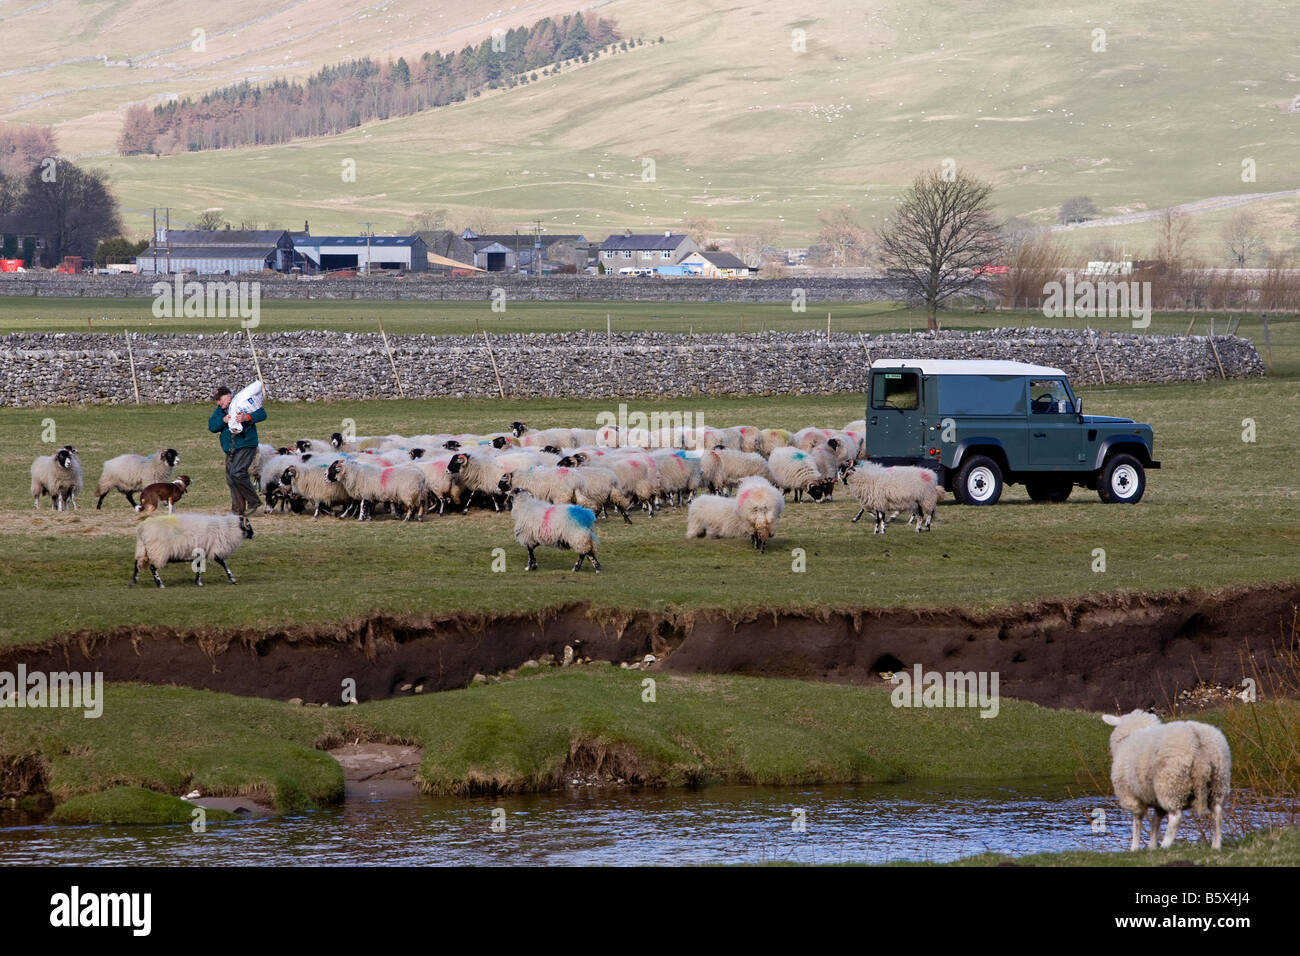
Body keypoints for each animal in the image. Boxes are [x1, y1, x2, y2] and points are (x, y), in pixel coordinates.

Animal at [1102, 710, 1231, 851]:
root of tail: (1197, 738)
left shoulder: (1130, 796)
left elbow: (1137, 821)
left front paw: (1134, 848)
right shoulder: (1156, 801)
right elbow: (1155, 821)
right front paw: (1152, 846)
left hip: (1170, 784)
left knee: (1175, 817)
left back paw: (1165, 844)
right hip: (1218, 781)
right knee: (1217, 812)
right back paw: (1216, 845)